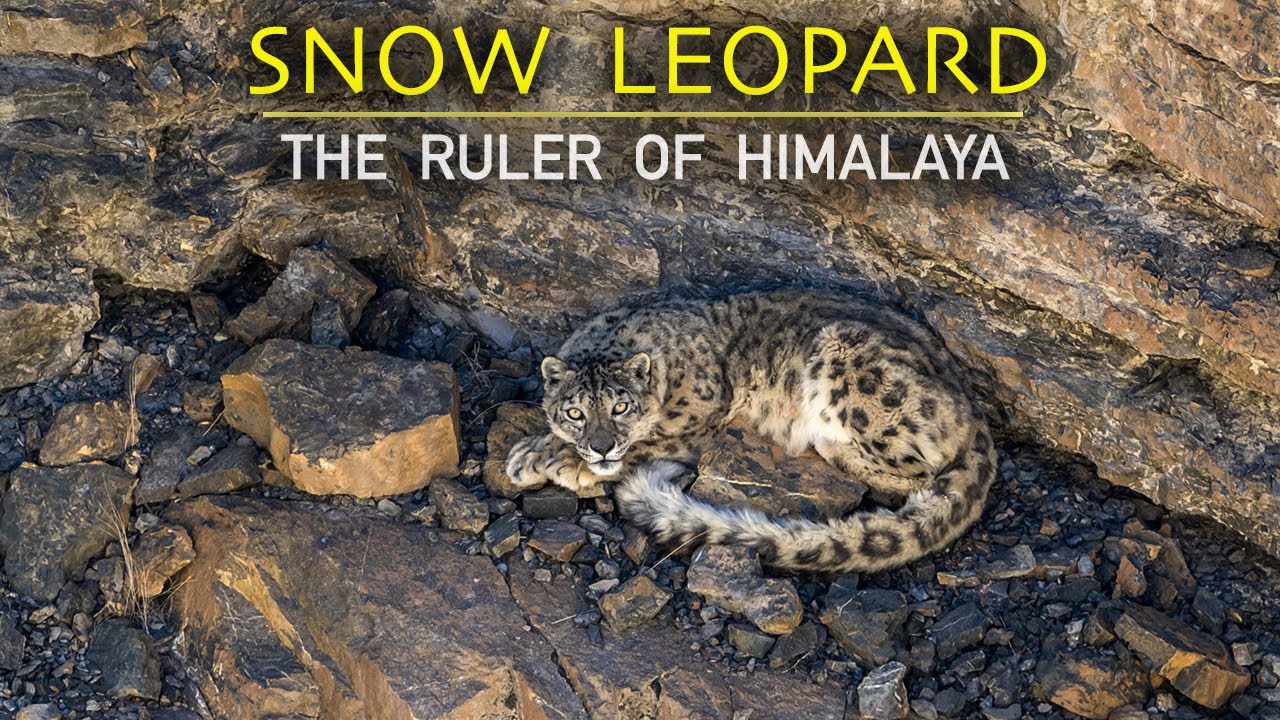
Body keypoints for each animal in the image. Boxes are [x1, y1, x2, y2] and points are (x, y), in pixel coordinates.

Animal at [505, 290, 995, 573]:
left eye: (620, 406)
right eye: (575, 413)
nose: (603, 446)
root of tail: (975, 411)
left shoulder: (698, 411)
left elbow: (650, 438)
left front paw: (565, 463)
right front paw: (531, 453)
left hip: (850, 358)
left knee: (918, 474)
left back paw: (826, 443)